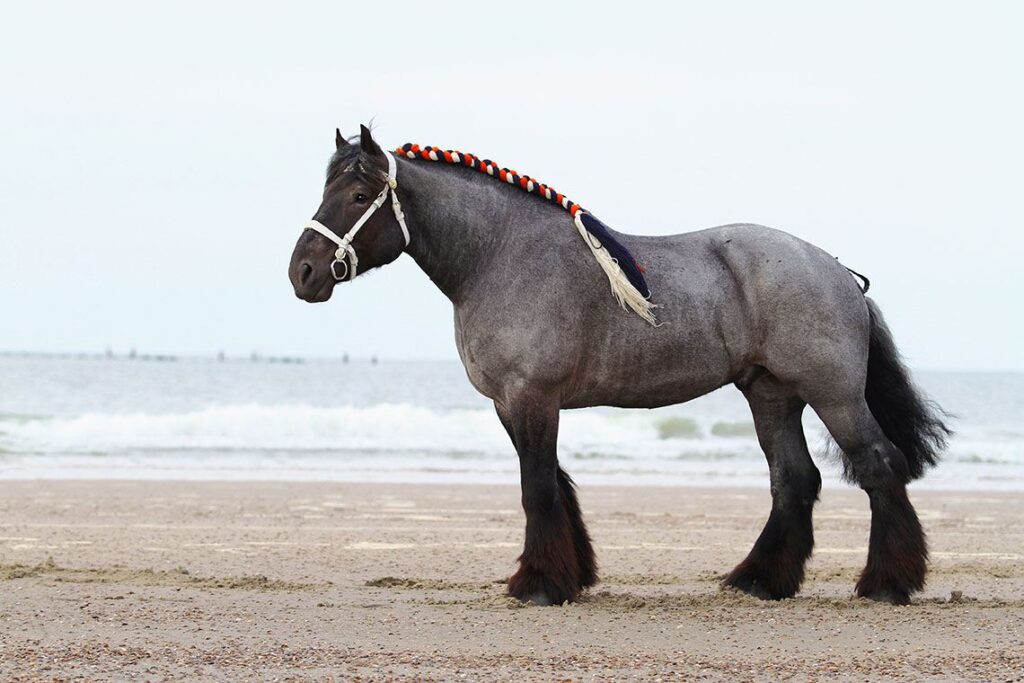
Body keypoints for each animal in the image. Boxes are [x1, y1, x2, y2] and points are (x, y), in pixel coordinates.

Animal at [288, 125, 950, 606]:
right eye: (324, 192)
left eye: (356, 196)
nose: (304, 273)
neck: (500, 254)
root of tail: (837, 270)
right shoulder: (511, 404)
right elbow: (555, 483)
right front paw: (570, 576)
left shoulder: (532, 397)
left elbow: (537, 488)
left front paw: (538, 586)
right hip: (771, 396)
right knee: (794, 480)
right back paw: (760, 581)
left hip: (833, 394)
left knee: (879, 466)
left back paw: (887, 584)